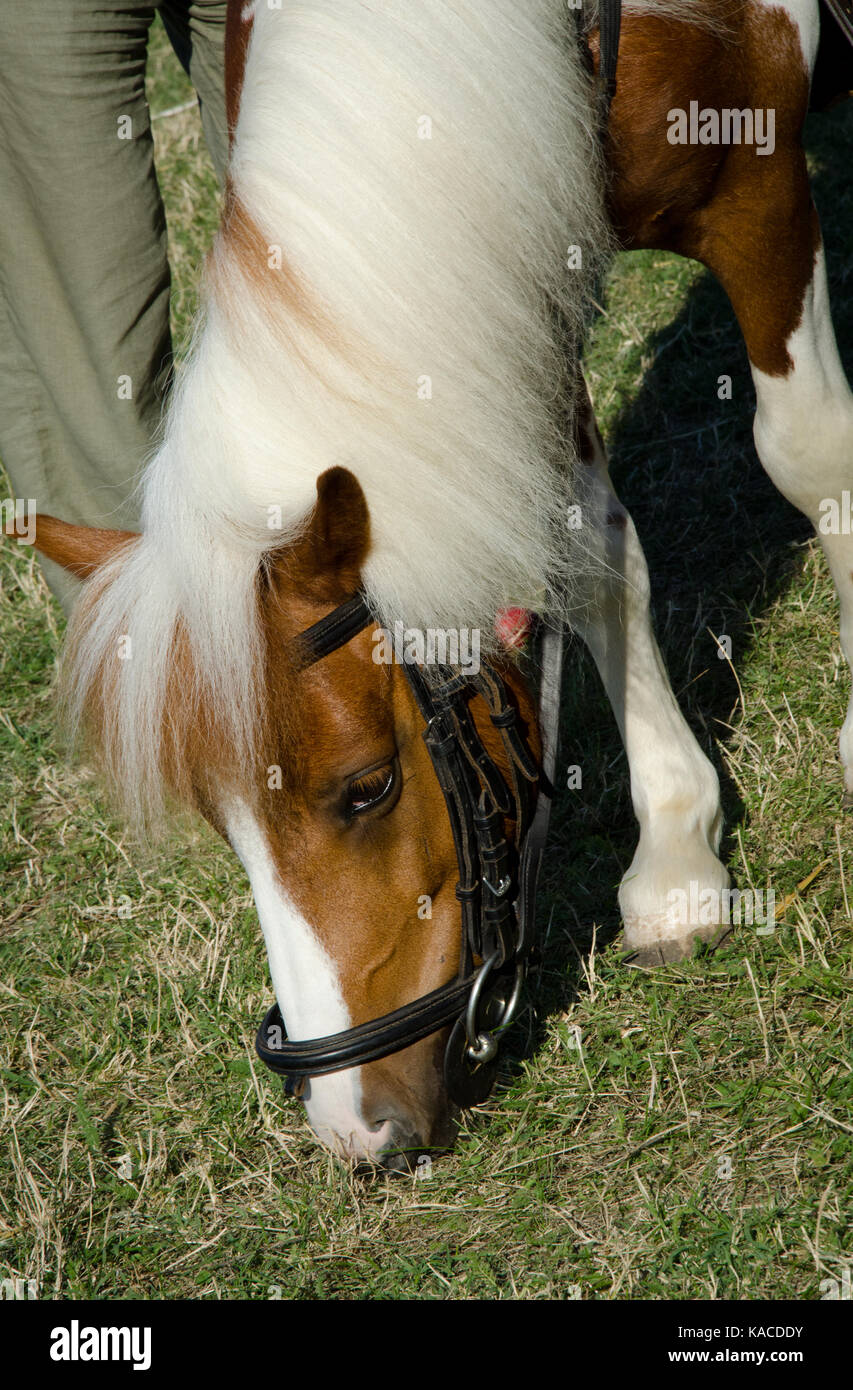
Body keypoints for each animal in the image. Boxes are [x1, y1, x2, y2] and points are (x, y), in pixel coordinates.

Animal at [11, 0, 853, 1169]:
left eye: (367, 787)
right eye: (223, 824)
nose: (353, 1130)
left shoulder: (756, 184)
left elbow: (807, 450)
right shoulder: (520, 255)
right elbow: (588, 545)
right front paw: (678, 849)